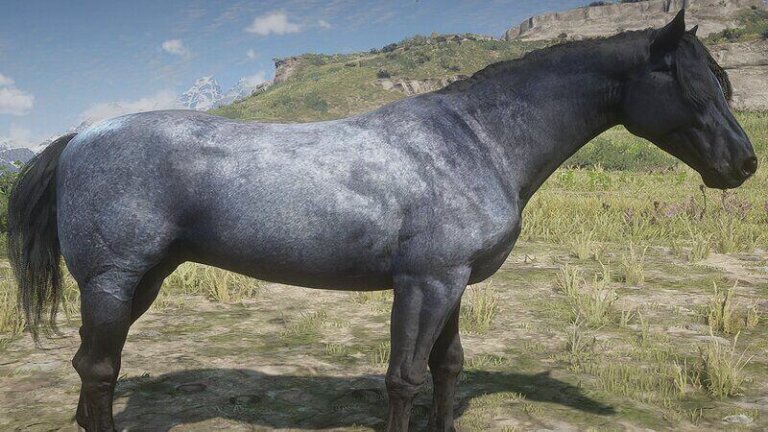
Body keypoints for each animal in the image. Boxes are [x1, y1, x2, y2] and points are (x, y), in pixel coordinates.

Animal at [7, 10, 757, 432]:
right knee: (99, 370)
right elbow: (405, 378)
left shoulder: (453, 282)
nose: (744, 163)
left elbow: (448, 369)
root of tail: (79, 138)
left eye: (724, 80)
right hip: (114, 282)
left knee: (90, 371)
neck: (476, 140)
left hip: (143, 282)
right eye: (692, 82)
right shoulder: (423, 284)